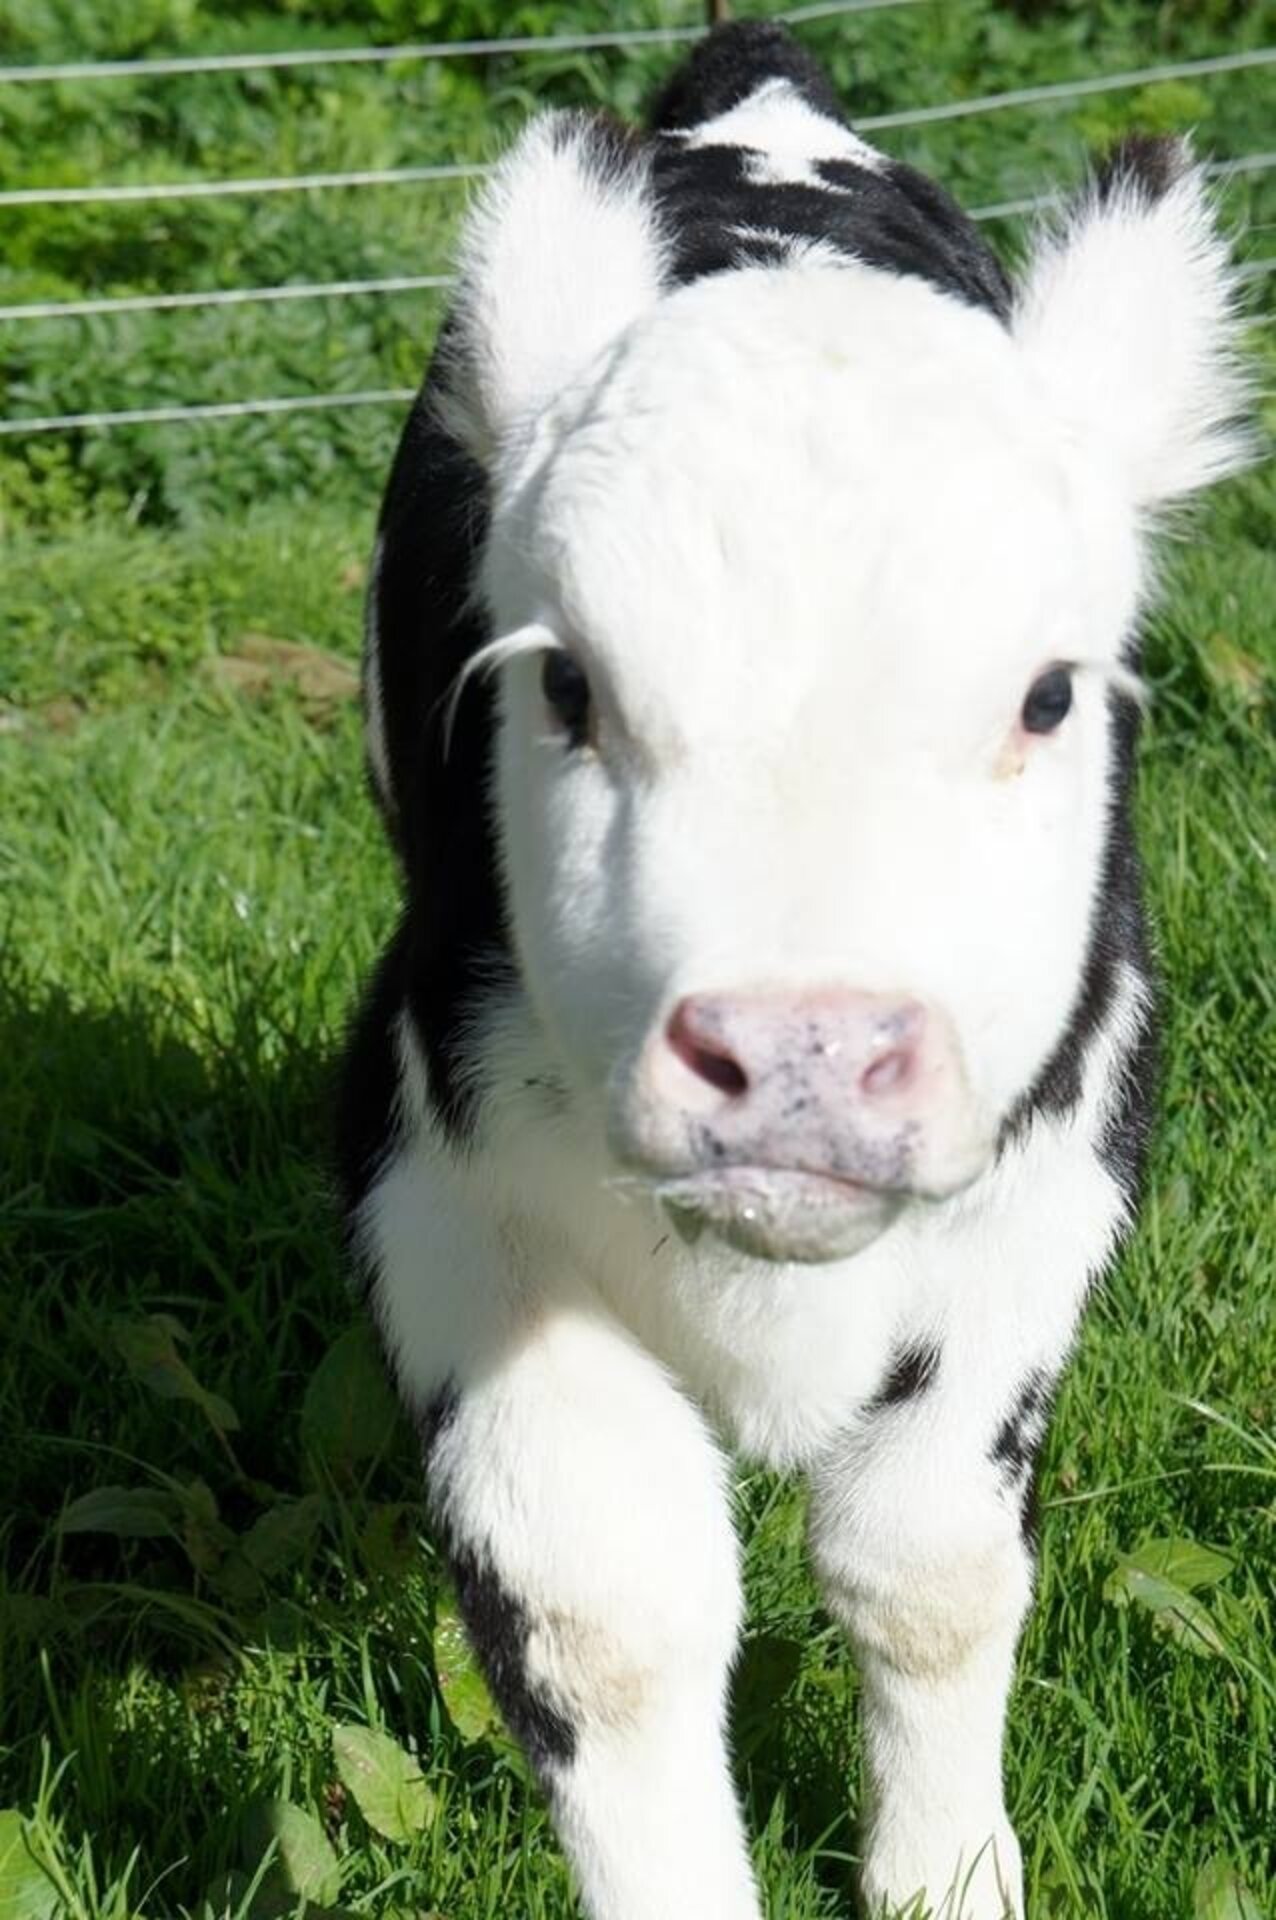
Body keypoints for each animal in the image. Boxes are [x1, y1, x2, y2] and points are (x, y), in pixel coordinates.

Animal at [337, 21, 1247, 1918]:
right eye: (567, 684)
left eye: (1048, 692)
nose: (802, 1052)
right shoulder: (432, 1170)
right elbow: (605, 1612)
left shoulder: (1061, 1169)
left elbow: (928, 1564)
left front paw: (948, 1874)